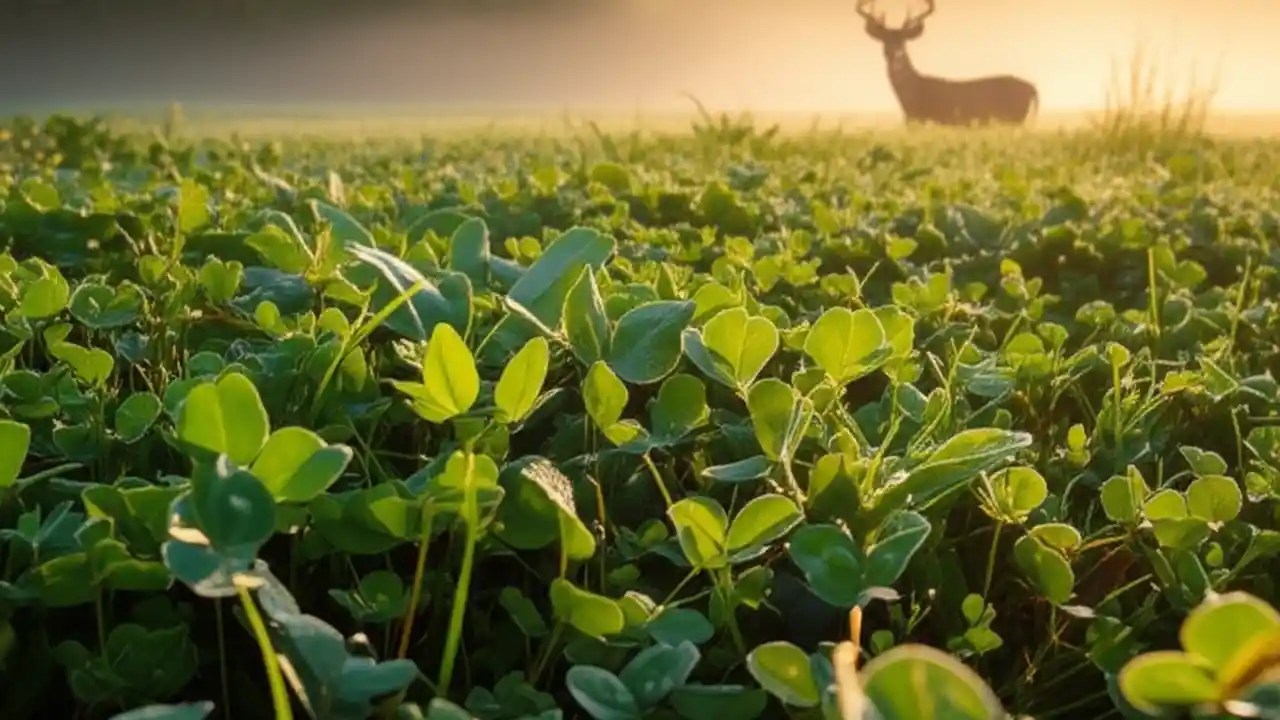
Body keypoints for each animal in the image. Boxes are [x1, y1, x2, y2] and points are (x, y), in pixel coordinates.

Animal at [856, 0, 1039, 126]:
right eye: (884, 41)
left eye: (903, 42)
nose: (896, 53)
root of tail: (1032, 88)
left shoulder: (927, 119)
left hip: (1014, 118)